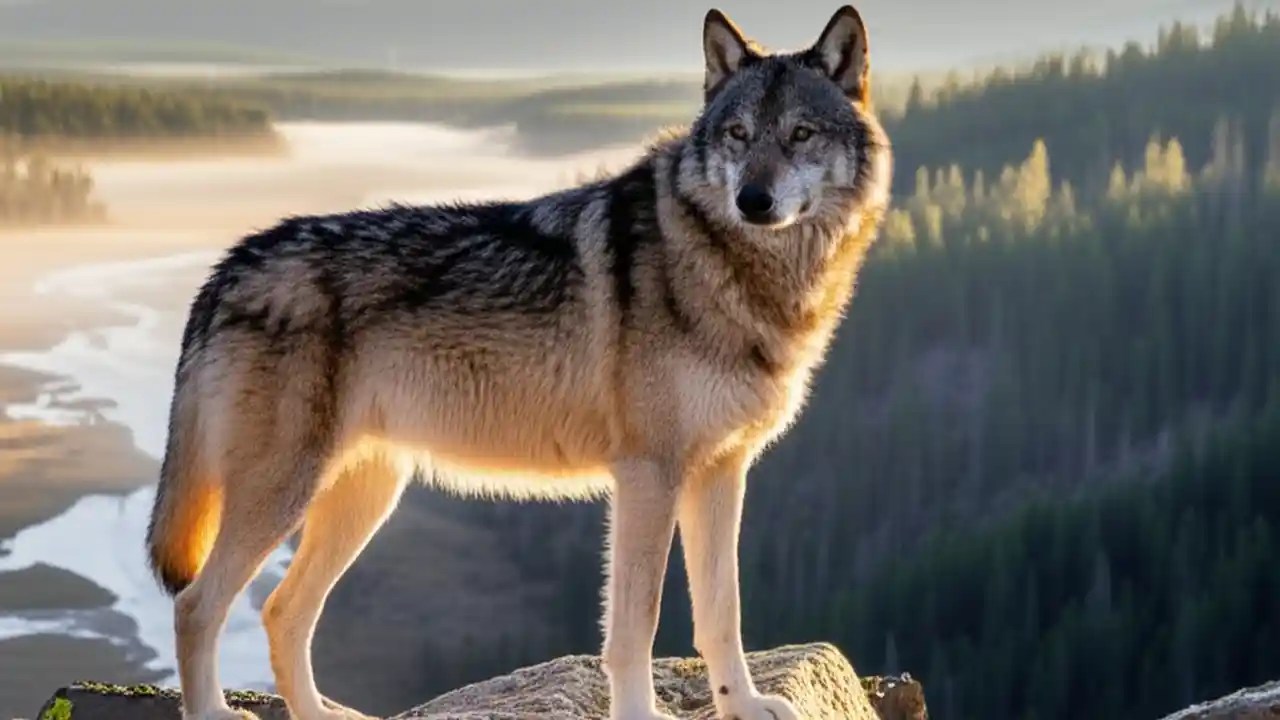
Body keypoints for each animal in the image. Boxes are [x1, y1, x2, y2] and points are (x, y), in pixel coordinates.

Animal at [145, 5, 891, 720]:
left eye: (800, 134)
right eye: (737, 134)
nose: (753, 201)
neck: (738, 270)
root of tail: (231, 263)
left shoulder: (721, 474)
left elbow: (722, 614)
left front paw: (743, 704)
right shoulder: (648, 474)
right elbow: (636, 624)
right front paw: (639, 713)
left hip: (363, 497)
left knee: (282, 611)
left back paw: (319, 713)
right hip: (286, 493)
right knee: (197, 605)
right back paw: (212, 711)